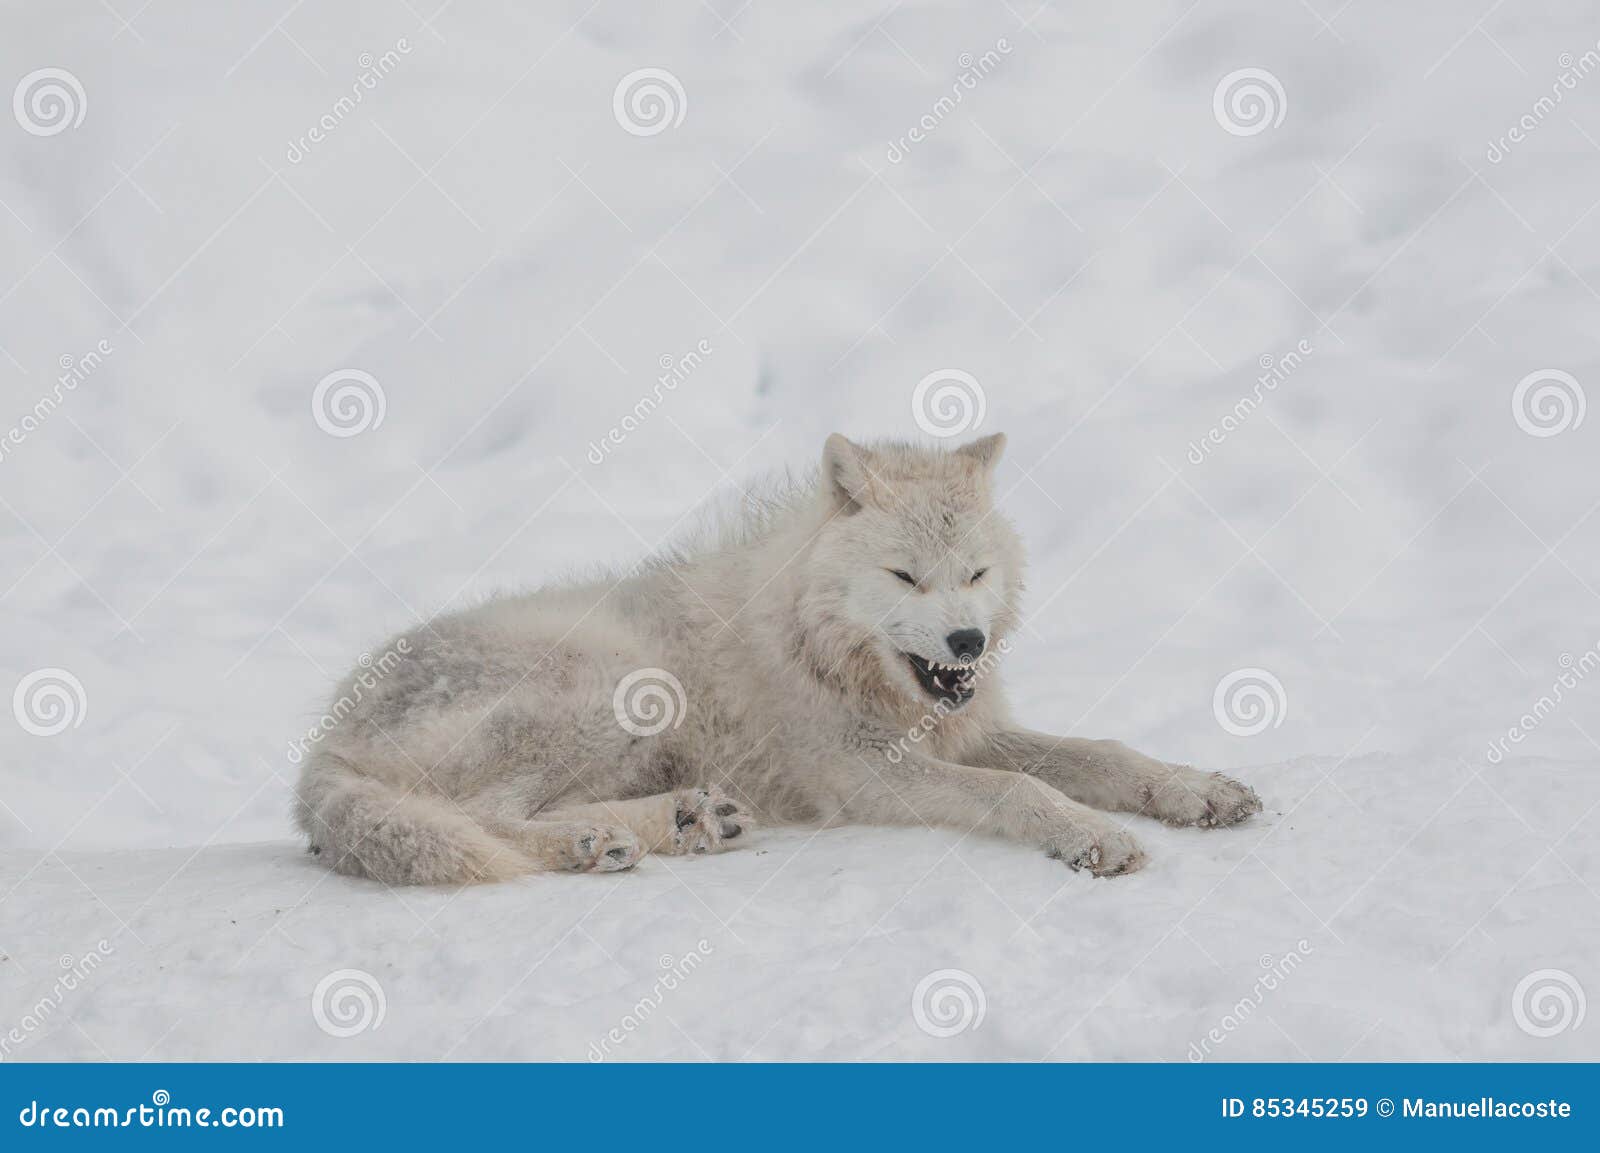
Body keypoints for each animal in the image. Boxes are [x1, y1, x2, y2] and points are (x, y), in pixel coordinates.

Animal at [294, 433, 1261, 885]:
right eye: (904, 575)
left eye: (976, 574)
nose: (967, 643)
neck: (823, 648)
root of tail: (323, 744)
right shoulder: (865, 773)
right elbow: (1021, 788)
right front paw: (1095, 834)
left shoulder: (962, 730)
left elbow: (1100, 754)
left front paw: (1196, 789)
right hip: (614, 686)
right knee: (489, 818)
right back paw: (599, 840)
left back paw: (686, 820)